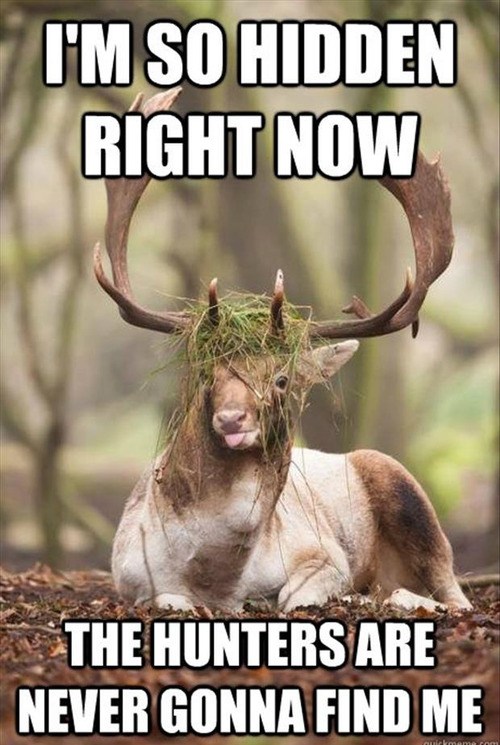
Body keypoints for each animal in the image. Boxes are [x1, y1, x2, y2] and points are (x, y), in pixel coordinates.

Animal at [94, 89, 471, 613]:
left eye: (281, 377)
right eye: (208, 373)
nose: (232, 419)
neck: (219, 580)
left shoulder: (324, 554)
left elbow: (297, 597)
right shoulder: (130, 579)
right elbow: (171, 600)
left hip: (408, 492)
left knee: (454, 596)